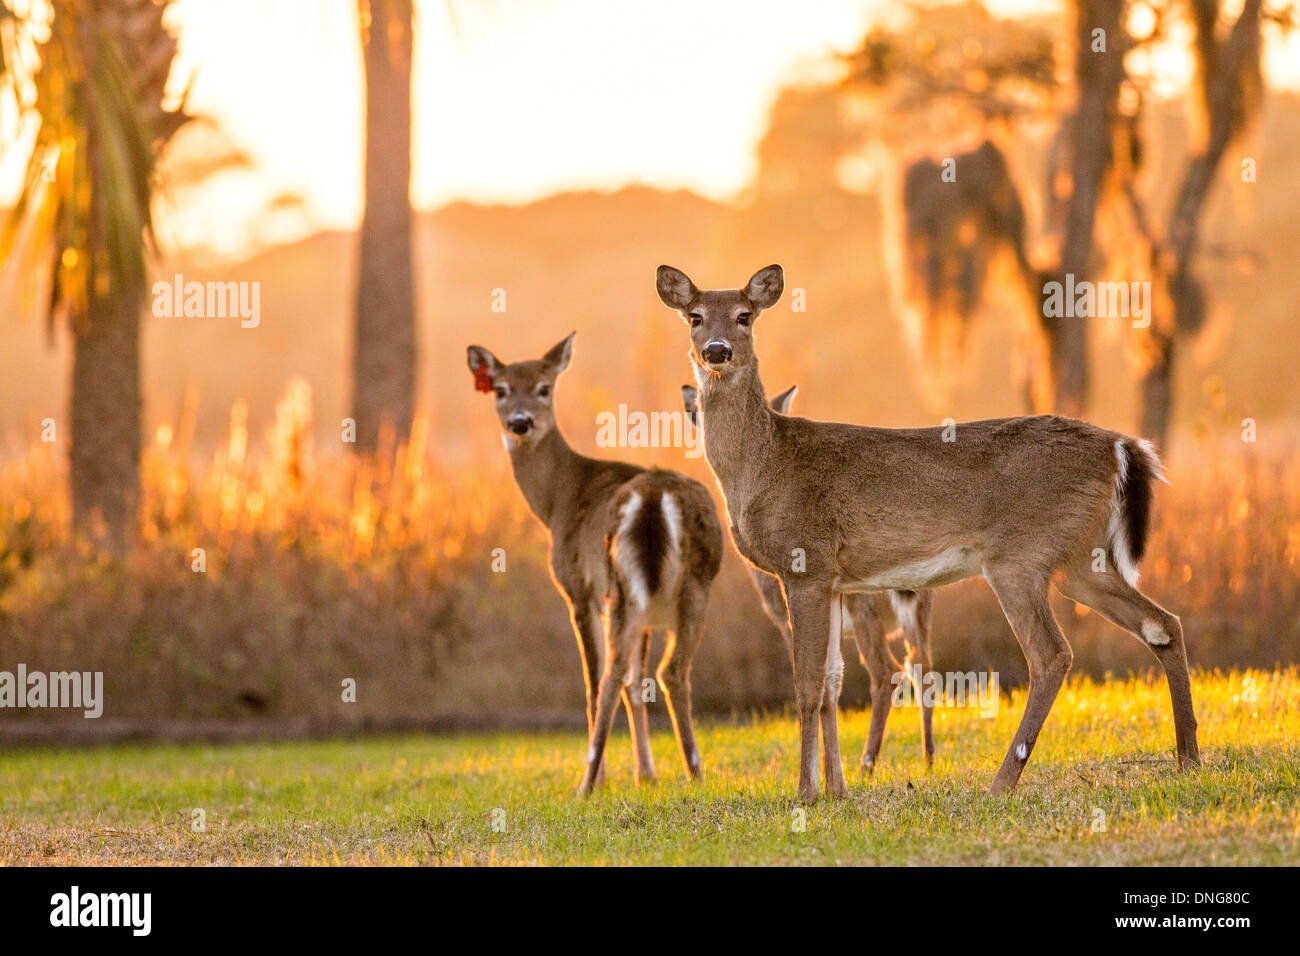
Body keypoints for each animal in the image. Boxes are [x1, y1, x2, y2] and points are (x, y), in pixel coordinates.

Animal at [467, 333, 724, 796]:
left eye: (544, 388)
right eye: (500, 389)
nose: (520, 423)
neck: (558, 501)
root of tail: (655, 496)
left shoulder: (579, 588)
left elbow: (592, 679)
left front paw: (606, 774)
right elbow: (634, 685)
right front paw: (646, 774)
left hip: (625, 584)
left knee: (622, 676)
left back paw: (591, 782)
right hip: (679, 584)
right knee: (651, 671)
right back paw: (684, 771)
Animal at [682, 382, 937, 771]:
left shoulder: (790, 617)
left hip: (866, 608)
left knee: (886, 670)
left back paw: (867, 762)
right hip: (920, 606)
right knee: (923, 666)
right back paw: (928, 757)